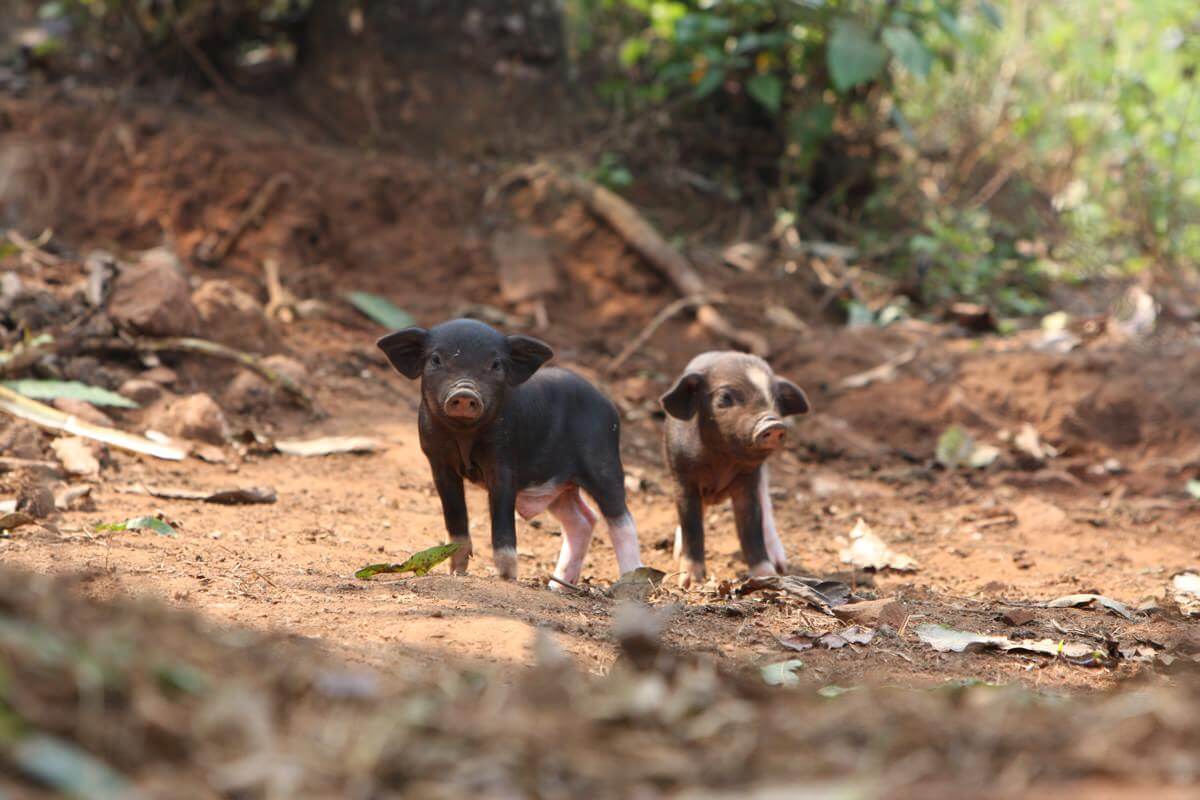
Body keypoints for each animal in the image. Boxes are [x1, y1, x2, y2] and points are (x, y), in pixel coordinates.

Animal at [377, 318, 643, 586]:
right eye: (436, 359)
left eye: (495, 364)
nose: (464, 392)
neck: (464, 435)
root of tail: (609, 405)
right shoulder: (438, 461)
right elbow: (455, 518)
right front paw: (457, 572)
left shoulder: (503, 460)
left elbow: (503, 520)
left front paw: (507, 578)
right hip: (558, 487)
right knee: (582, 519)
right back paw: (557, 587)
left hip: (604, 461)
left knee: (622, 519)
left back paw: (629, 580)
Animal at [659, 352, 810, 587]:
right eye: (725, 398)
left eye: (776, 400)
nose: (772, 423)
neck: (721, 461)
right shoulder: (683, 477)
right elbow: (691, 525)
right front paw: (689, 582)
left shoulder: (749, 480)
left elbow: (752, 527)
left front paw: (769, 576)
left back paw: (781, 564)